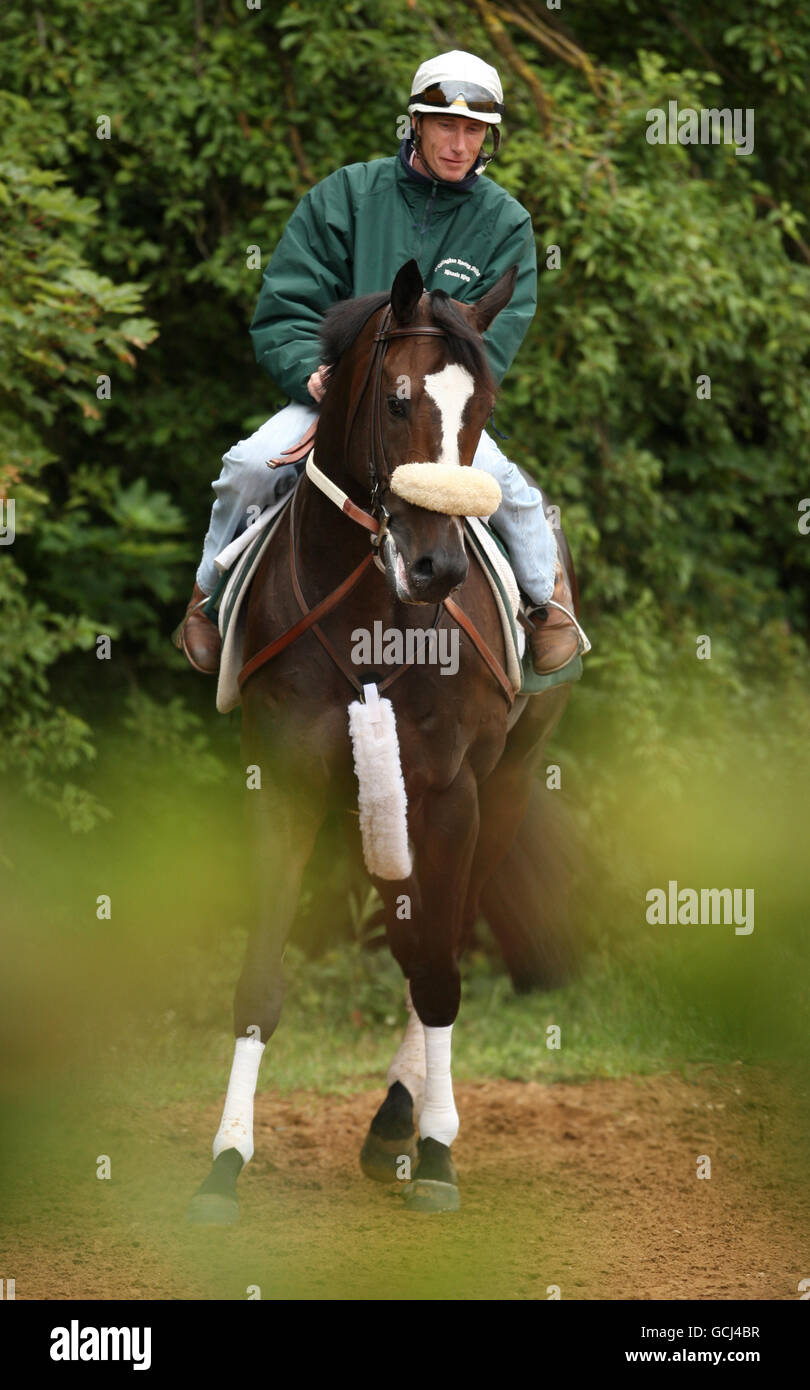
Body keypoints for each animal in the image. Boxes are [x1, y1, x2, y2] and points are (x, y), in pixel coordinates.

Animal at [187, 258, 581, 1222]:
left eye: (481, 408)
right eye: (397, 401)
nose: (438, 566)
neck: (373, 615)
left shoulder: (451, 794)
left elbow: (438, 971)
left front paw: (437, 1153)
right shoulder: (286, 784)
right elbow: (260, 980)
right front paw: (226, 1163)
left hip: (506, 787)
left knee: (440, 947)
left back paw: (406, 1120)